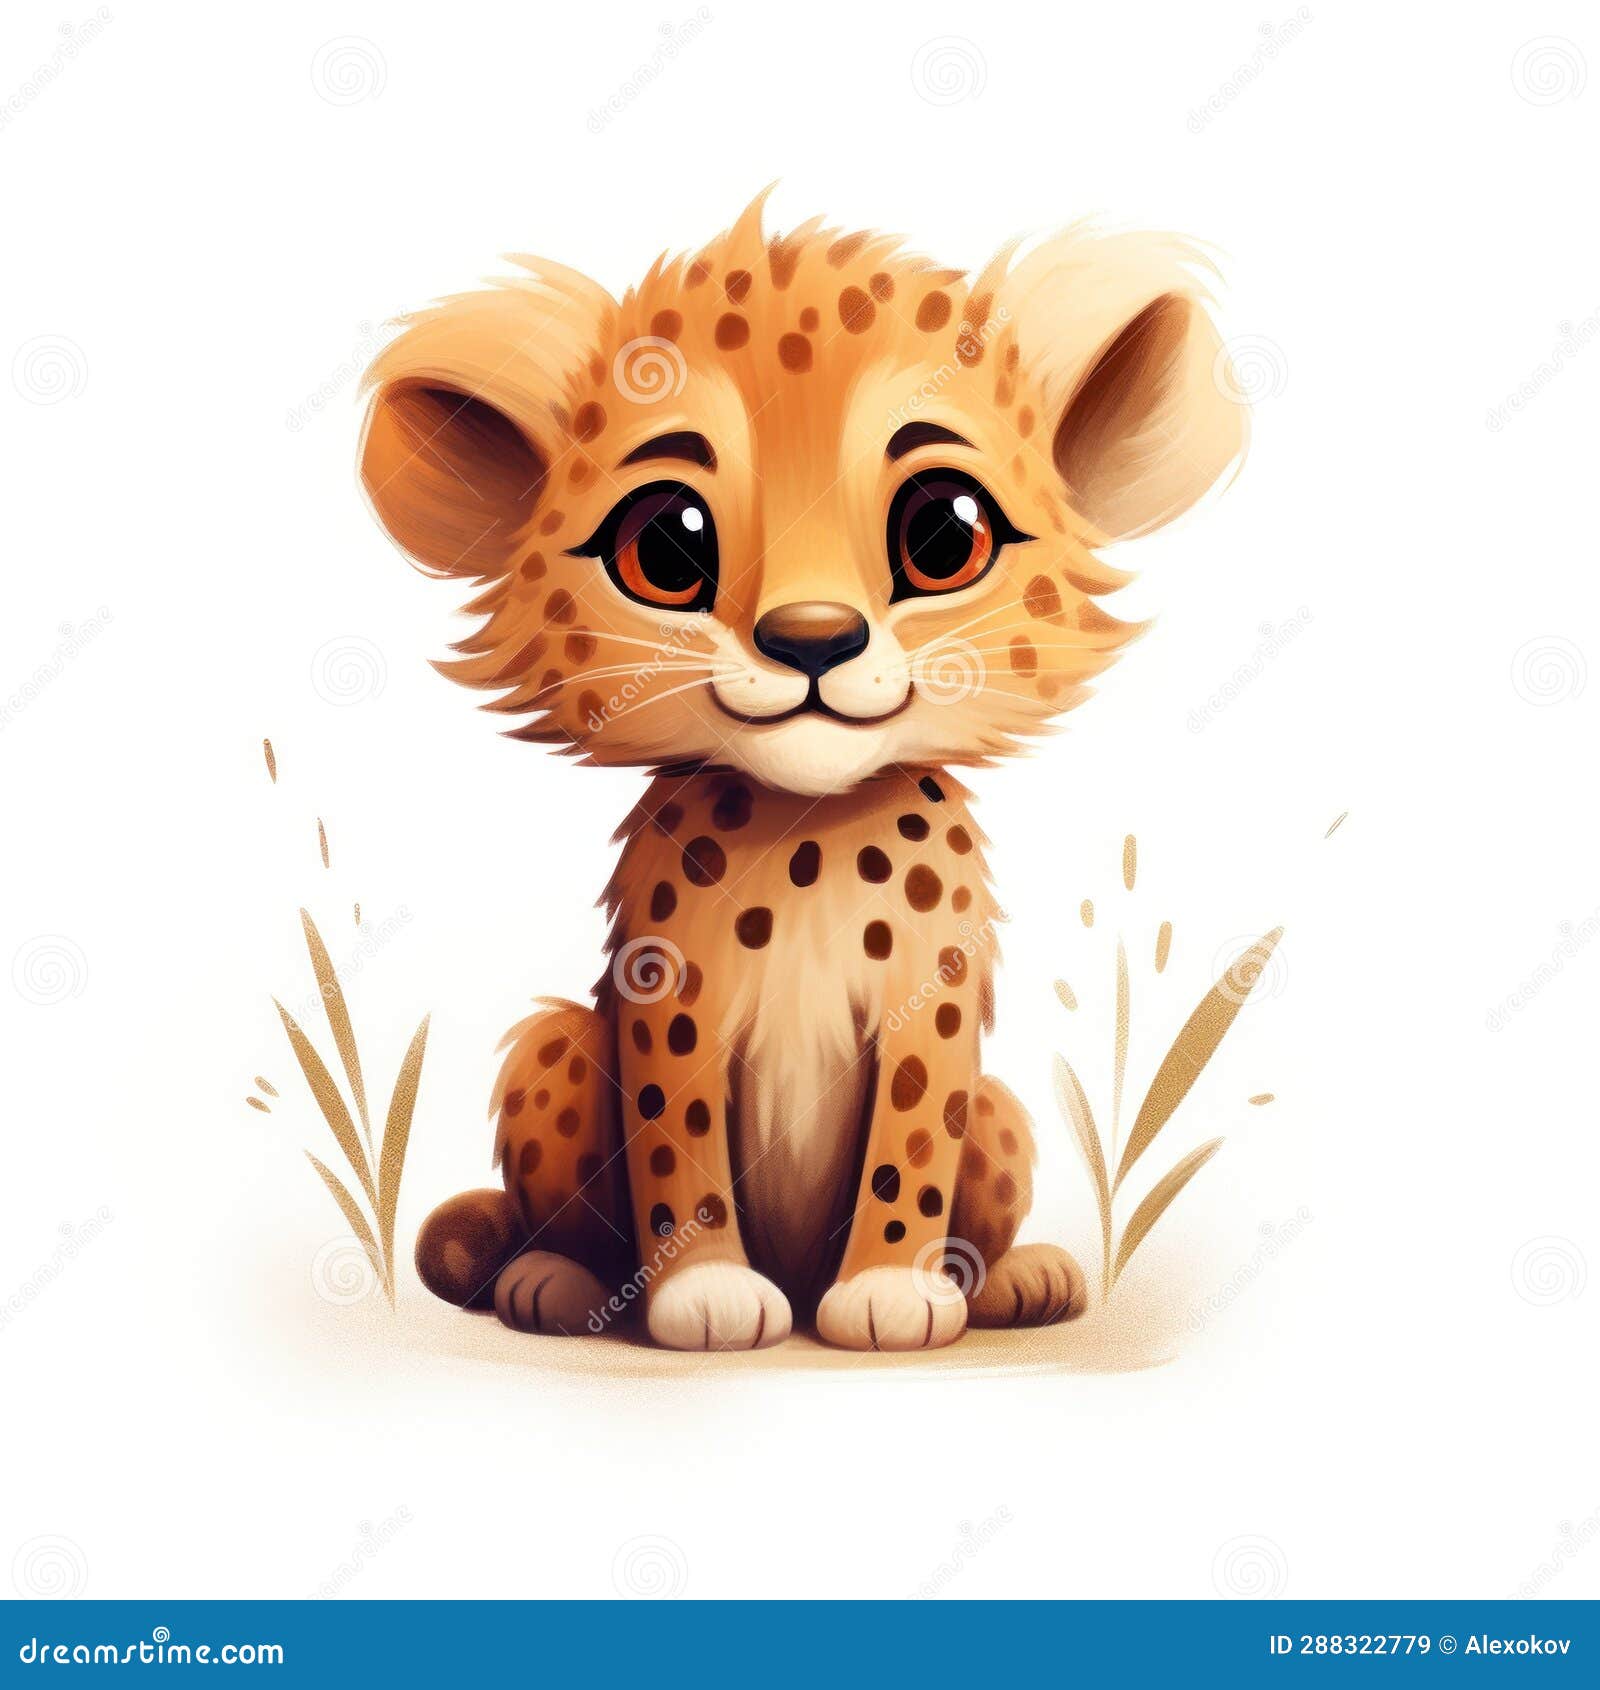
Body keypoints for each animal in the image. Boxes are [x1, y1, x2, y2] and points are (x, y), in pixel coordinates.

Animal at [359, 193, 1247, 1351]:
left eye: (943, 532)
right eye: (667, 543)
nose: (812, 639)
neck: (808, 835)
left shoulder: (933, 1009)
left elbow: (913, 1144)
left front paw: (892, 1288)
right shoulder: (667, 1002)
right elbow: (679, 1146)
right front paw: (705, 1293)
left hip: (1002, 1115)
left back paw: (1015, 1279)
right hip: (555, 1046)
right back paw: (556, 1280)